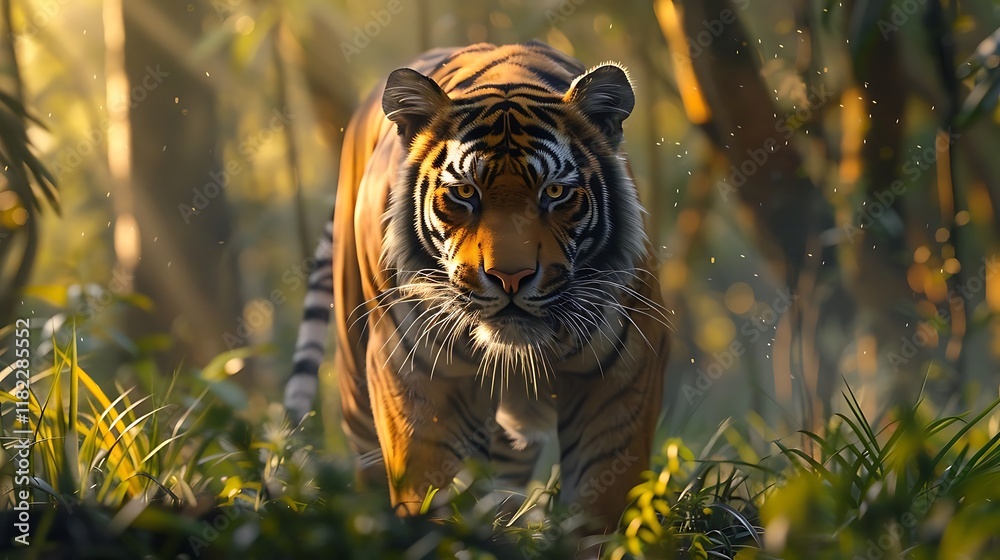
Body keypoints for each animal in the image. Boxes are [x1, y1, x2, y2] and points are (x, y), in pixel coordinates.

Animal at [284, 41, 669, 545]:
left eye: (555, 192)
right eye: (465, 193)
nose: (511, 277)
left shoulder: (621, 376)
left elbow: (599, 505)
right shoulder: (419, 378)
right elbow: (434, 494)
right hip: (355, 374)